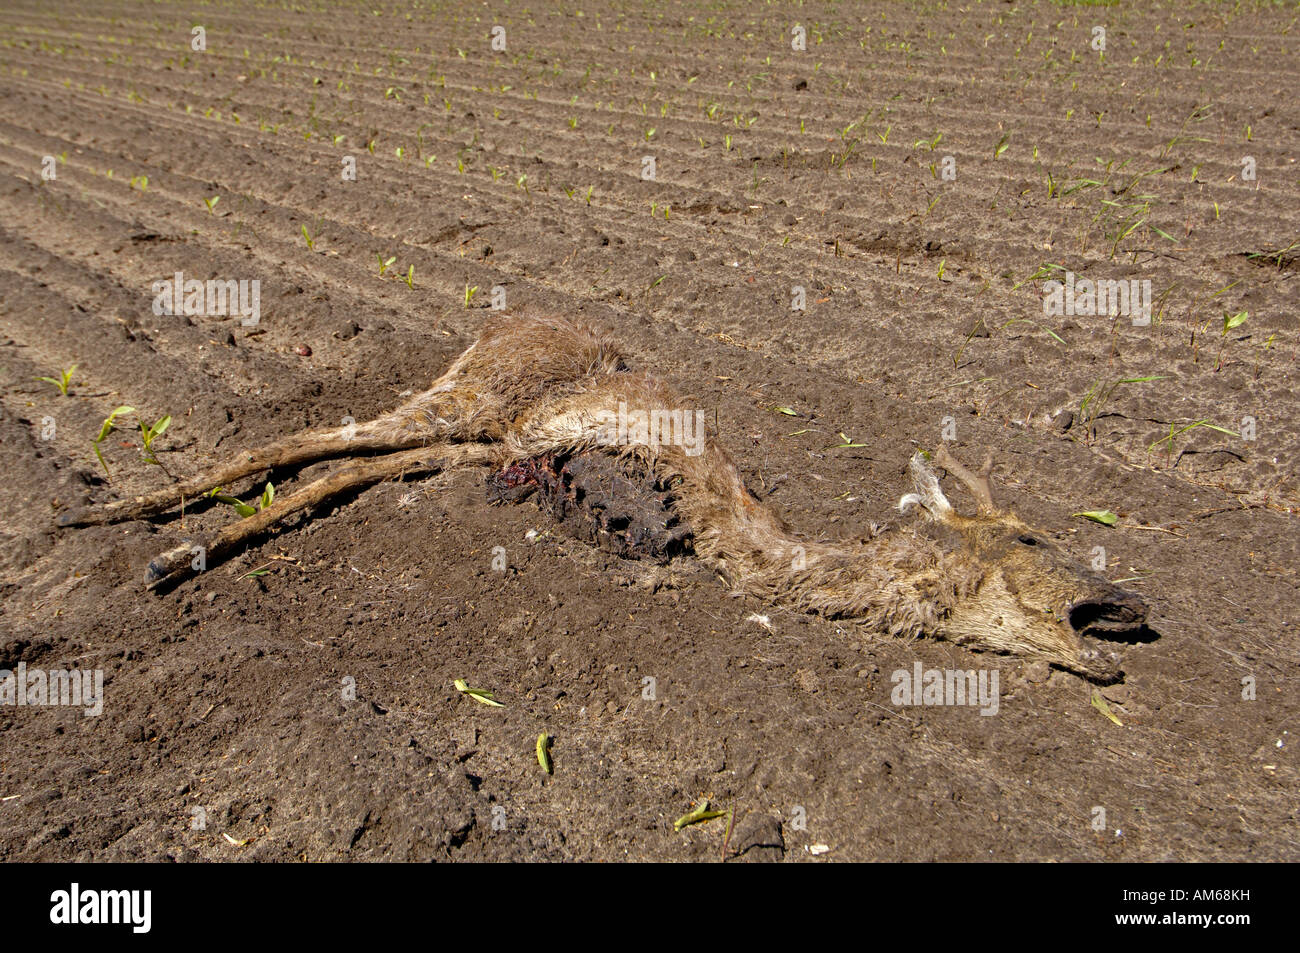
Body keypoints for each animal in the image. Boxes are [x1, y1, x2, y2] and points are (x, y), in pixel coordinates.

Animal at [58, 311, 1148, 681]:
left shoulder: (517, 457)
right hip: (474, 399)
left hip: (482, 433)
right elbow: (320, 450)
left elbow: (340, 475)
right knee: (327, 439)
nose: (1133, 605)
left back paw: (153, 541)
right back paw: (107, 520)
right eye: (1032, 540)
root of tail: (496, 323)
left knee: (348, 461)